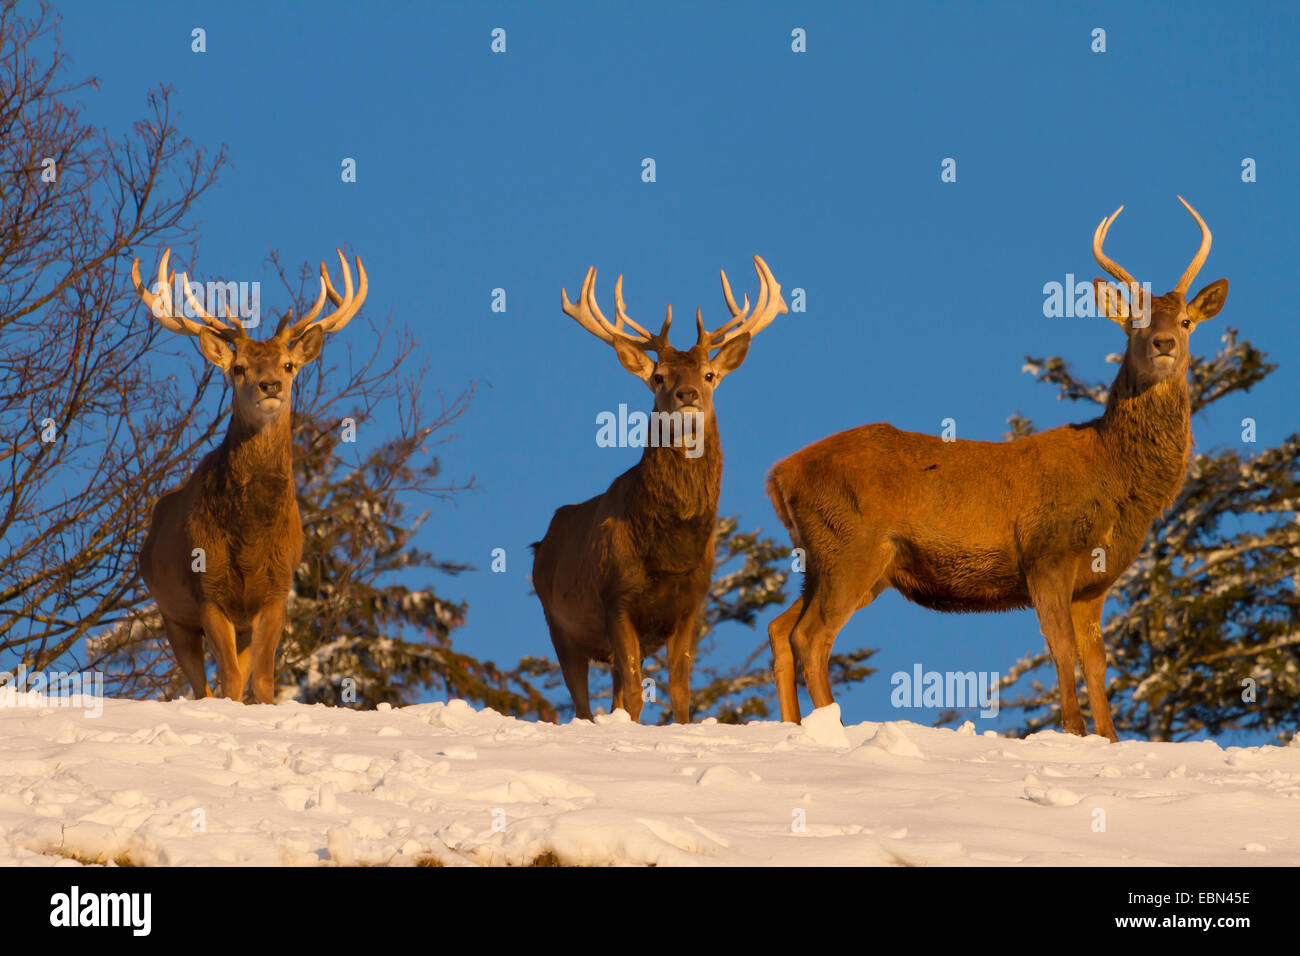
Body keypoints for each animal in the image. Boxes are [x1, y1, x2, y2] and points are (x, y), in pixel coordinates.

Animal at [131, 248, 367, 703]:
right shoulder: (208, 591)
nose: (270, 385)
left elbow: (262, 680)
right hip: (172, 614)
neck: (251, 540)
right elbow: (230, 679)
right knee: (204, 685)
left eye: (289, 365)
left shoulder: (275, 592)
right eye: (238, 367)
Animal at [532, 256, 787, 723]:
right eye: (659, 378)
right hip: (558, 624)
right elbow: (635, 692)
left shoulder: (691, 605)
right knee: (583, 704)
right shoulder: (617, 597)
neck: (671, 554)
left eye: (709, 374)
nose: (687, 394)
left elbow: (681, 690)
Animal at [765, 197, 1228, 741]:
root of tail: (779, 475)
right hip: (851, 547)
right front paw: (1073, 732)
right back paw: (832, 728)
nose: (1162, 343)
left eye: (1187, 322)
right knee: (811, 635)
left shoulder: (1095, 581)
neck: (1113, 475)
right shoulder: (1047, 553)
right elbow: (1062, 648)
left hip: (830, 559)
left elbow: (1097, 660)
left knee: (780, 627)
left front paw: (1110, 739)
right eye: (1134, 323)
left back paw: (795, 726)